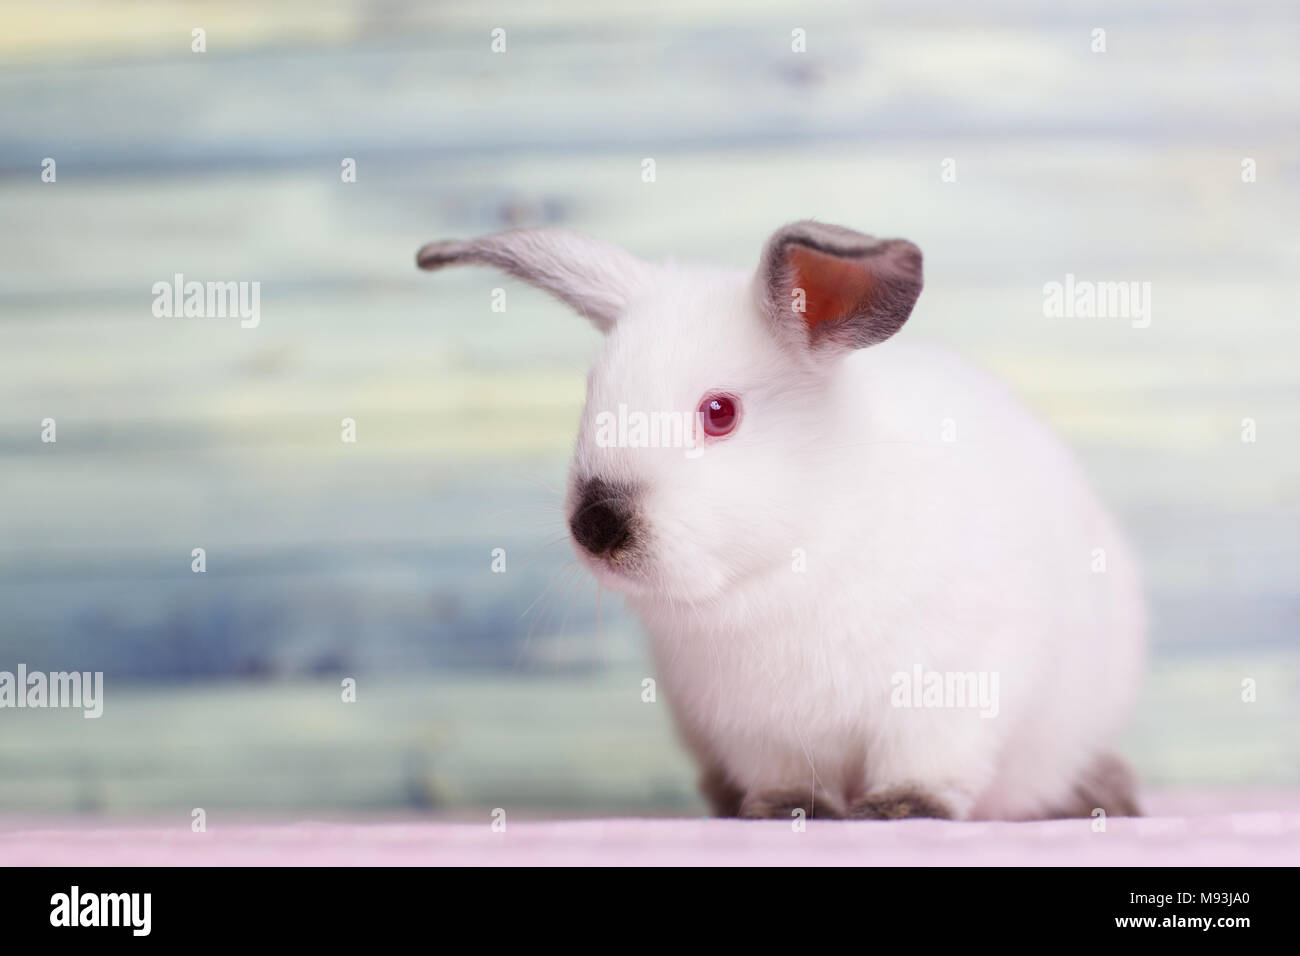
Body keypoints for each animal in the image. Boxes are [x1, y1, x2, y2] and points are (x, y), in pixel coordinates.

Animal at [416, 220, 1145, 821]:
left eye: (720, 412)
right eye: (591, 393)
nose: (596, 524)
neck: (788, 560)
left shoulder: (949, 692)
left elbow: (926, 765)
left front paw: (900, 808)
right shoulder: (755, 730)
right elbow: (787, 777)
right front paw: (789, 809)